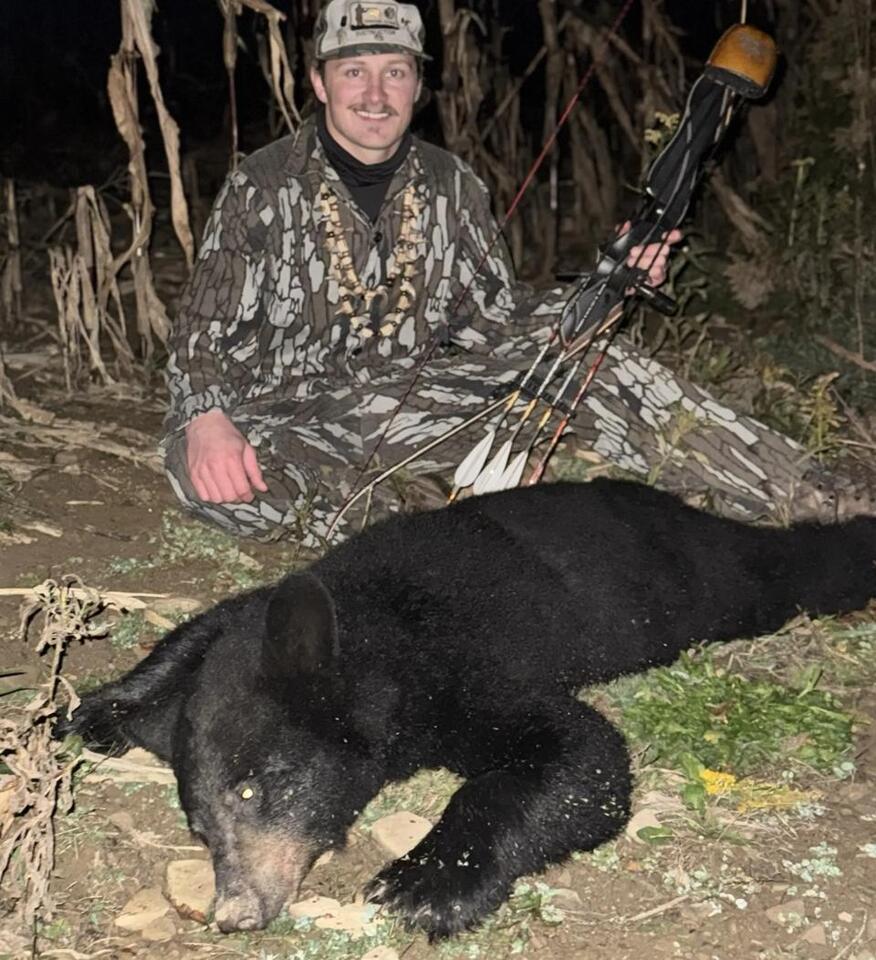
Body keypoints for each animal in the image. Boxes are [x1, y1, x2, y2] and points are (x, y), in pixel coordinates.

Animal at [59, 478, 876, 939]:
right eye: (197, 826)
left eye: (256, 788)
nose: (236, 913)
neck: (377, 638)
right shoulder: (256, 615)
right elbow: (193, 634)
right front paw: (98, 709)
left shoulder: (458, 670)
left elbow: (579, 754)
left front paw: (424, 884)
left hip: (705, 582)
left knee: (777, 568)